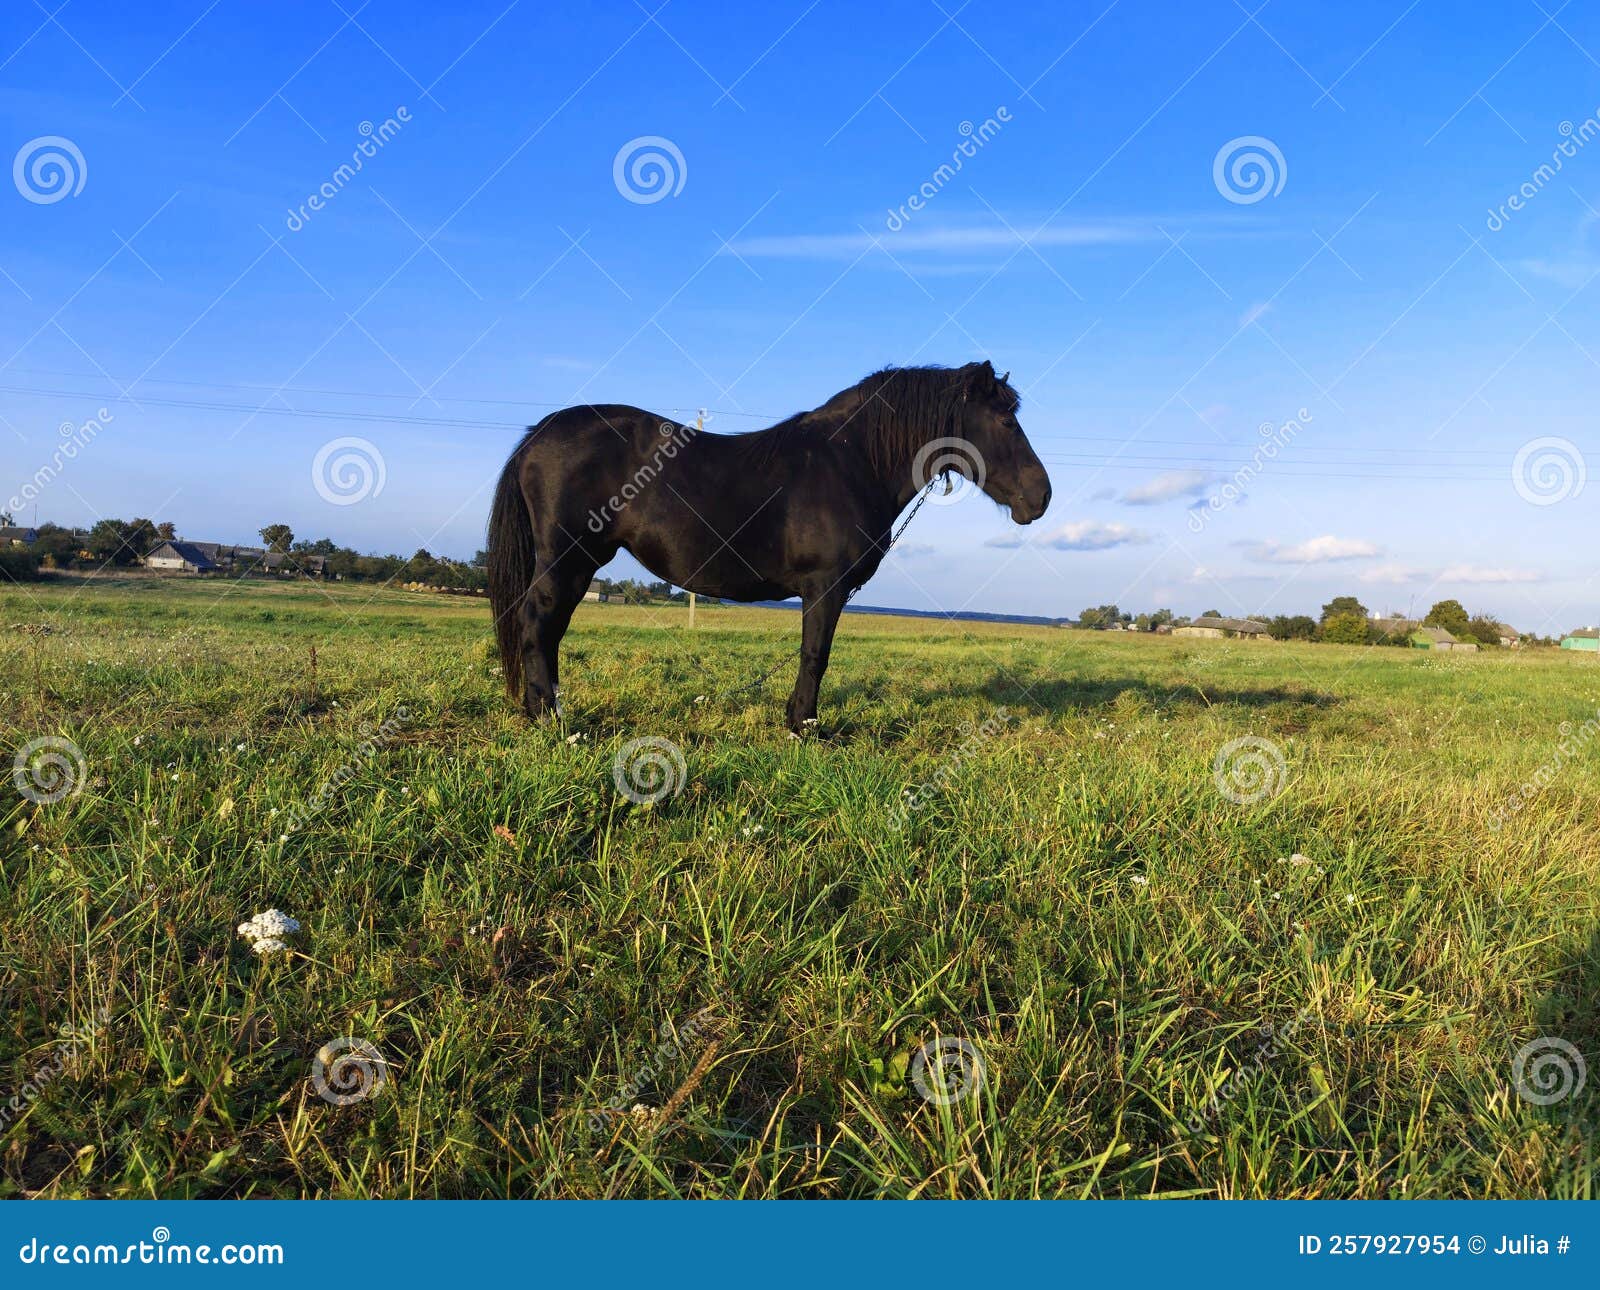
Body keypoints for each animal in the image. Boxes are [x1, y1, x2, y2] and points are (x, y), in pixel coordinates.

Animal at [487, 361, 1051, 732]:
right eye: (1006, 421)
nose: (1041, 495)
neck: (850, 462)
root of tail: (541, 432)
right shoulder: (825, 586)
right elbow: (816, 654)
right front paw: (804, 726)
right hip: (568, 558)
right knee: (537, 625)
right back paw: (551, 721)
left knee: (549, 630)